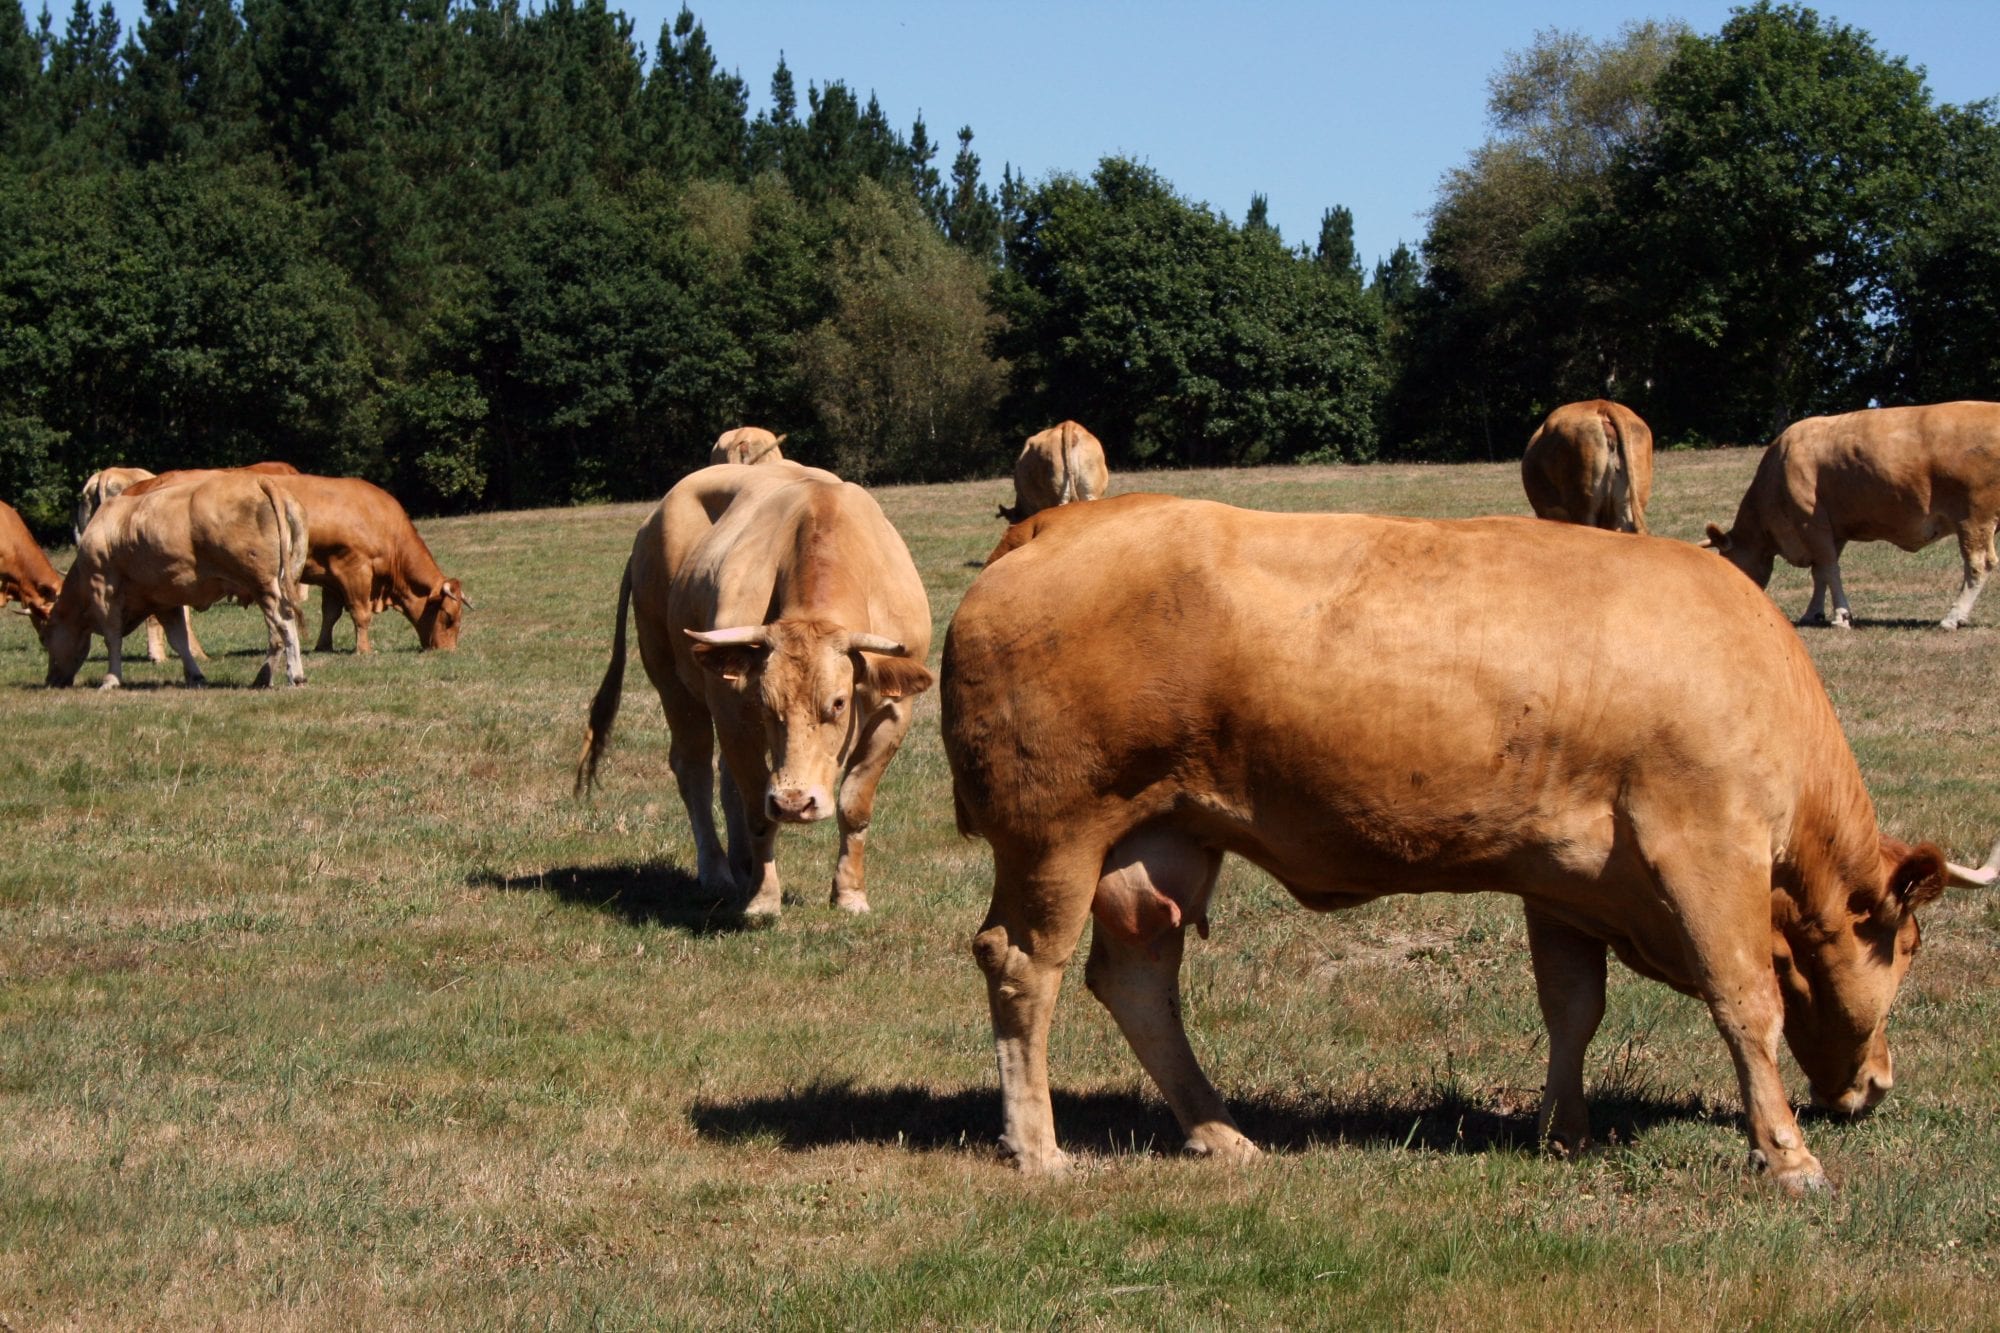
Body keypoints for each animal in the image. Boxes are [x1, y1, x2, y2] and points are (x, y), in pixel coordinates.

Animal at [40, 472, 307, 689]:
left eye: (45, 638)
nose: (50, 680)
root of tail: (259, 480)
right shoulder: (164, 601)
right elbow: (179, 640)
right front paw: (195, 675)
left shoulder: (104, 589)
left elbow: (112, 637)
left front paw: (111, 679)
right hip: (278, 582)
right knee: (278, 629)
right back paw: (265, 677)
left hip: (262, 584)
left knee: (283, 623)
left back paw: (295, 675)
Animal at [577, 462, 933, 917]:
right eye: (767, 703)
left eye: (838, 703)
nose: (794, 803)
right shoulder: (733, 711)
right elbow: (757, 811)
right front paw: (763, 900)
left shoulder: (894, 712)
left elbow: (855, 805)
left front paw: (850, 895)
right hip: (671, 680)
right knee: (693, 769)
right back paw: (718, 872)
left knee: (726, 777)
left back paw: (743, 863)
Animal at [943, 493, 1993, 1194]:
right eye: (1905, 944)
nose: (1879, 1085)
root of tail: (1057, 522)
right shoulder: (1706, 846)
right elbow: (1748, 1002)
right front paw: (1787, 1153)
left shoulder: (1568, 881)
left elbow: (1572, 1009)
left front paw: (1564, 1128)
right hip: (1056, 834)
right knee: (1023, 966)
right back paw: (1038, 1146)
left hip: (1159, 840)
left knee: (1136, 982)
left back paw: (1219, 1131)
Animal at [1704, 401, 2000, 630]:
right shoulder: (1834, 530)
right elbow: (1820, 572)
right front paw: (1813, 613)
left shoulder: (1811, 522)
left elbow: (1829, 568)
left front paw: (1841, 616)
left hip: (1974, 519)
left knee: (1978, 564)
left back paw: (1952, 618)